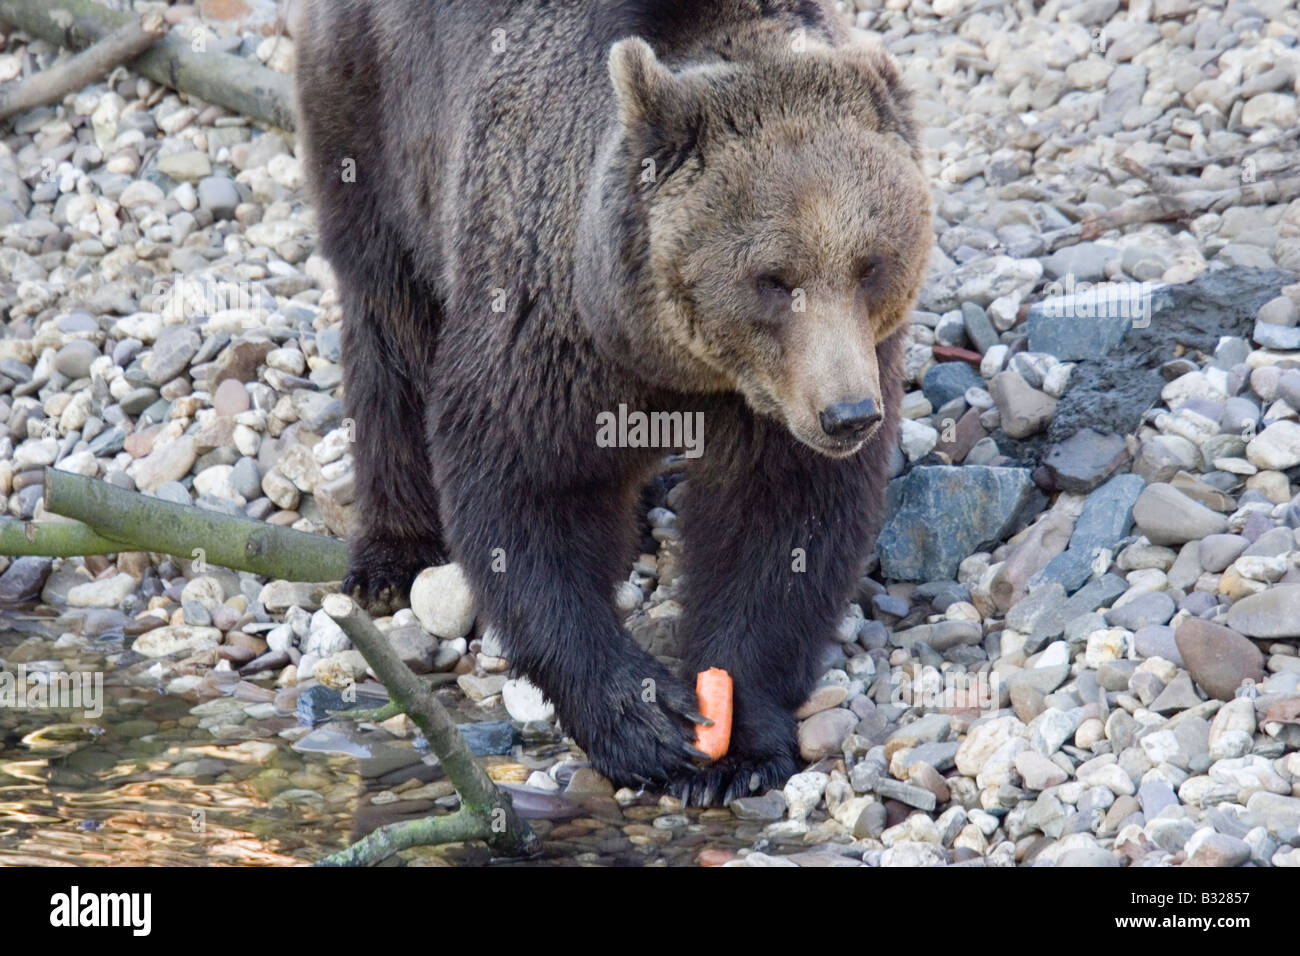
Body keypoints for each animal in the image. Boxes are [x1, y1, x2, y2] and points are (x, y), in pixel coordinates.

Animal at [294, 0, 931, 805]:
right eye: (773, 278)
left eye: (870, 263)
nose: (848, 414)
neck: (671, 355)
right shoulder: (550, 322)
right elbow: (525, 488)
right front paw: (646, 722)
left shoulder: (789, 392)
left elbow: (783, 517)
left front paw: (738, 744)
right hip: (374, 119)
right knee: (390, 322)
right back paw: (390, 559)